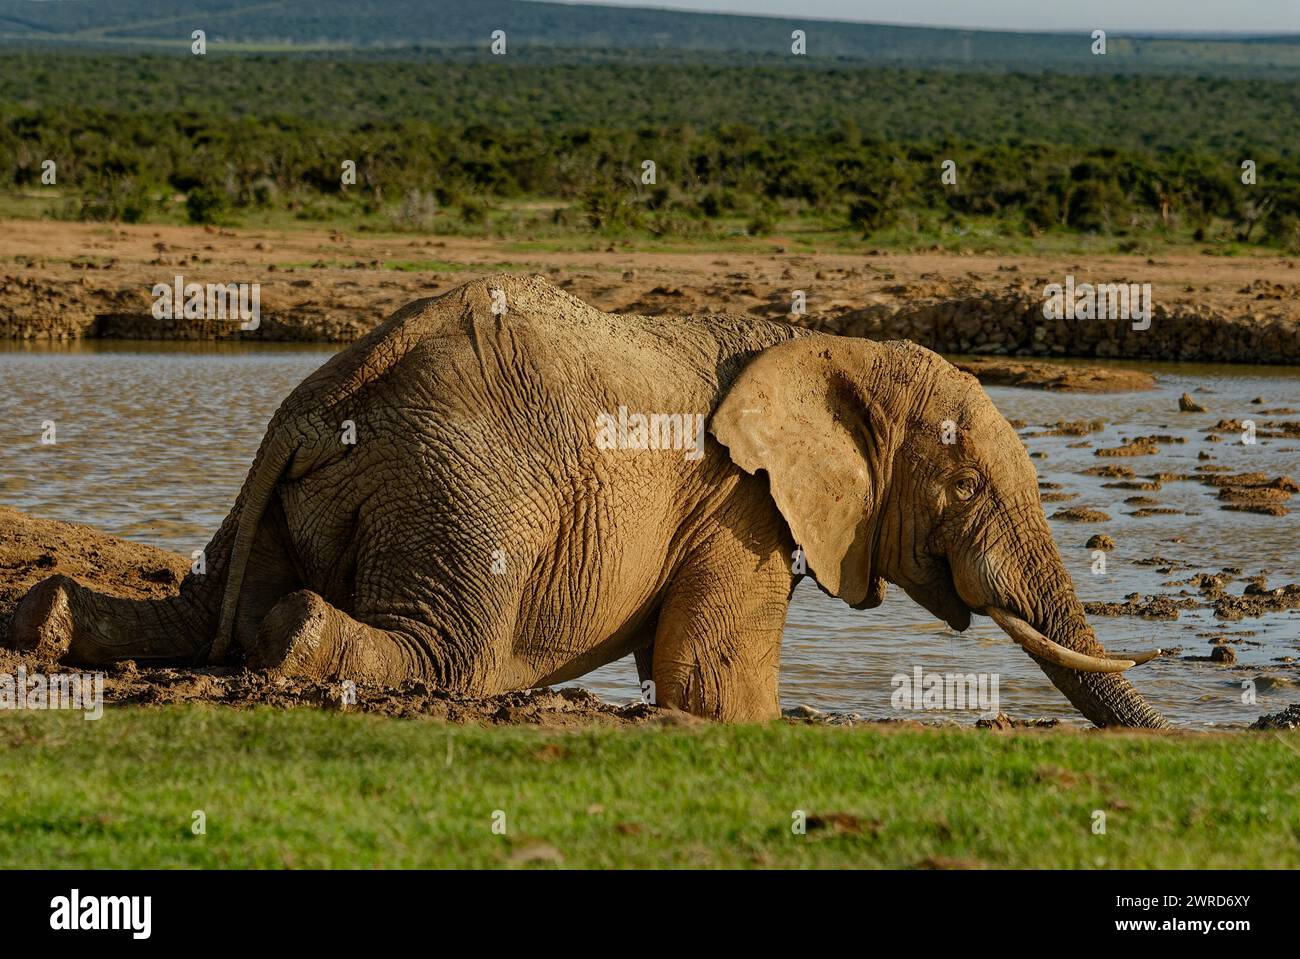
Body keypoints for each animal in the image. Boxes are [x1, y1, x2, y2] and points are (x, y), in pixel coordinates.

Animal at [7, 274, 1168, 727]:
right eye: (963, 484)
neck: (826, 344)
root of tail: (318, 404)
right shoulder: (740, 503)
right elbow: (710, 682)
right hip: (463, 490)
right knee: (441, 652)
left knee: (197, 606)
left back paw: (49, 622)